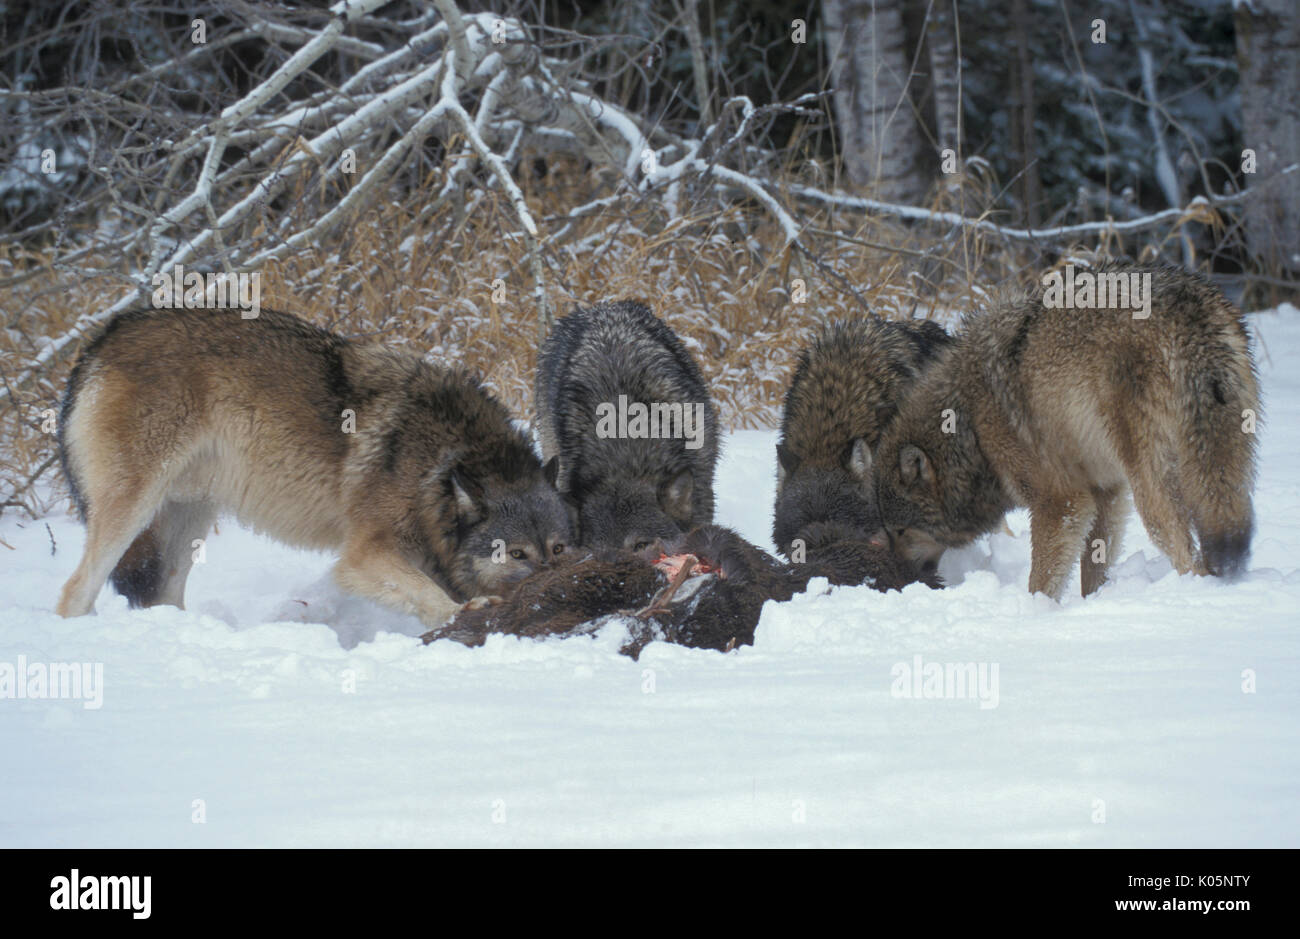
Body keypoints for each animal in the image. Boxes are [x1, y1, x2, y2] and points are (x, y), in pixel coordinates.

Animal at [55, 306, 575, 626]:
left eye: (558, 549)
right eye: (516, 554)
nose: (551, 589)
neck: (437, 467)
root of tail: (104, 337)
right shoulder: (365, 555)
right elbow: (428, 594)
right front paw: (463, 613)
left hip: (191, 518)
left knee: (161, 593)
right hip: (133, 507)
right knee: (75, 591)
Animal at [874, 263, 1260, 599]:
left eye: (901, 531)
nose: (901, 581)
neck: (970, 423)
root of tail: (1188, 304)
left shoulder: (1060, 500)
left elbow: (1041, 580)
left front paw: (1037, 614)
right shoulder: (1106, 490)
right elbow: (1094, 568)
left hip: (1153, 490)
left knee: (1188, 558)